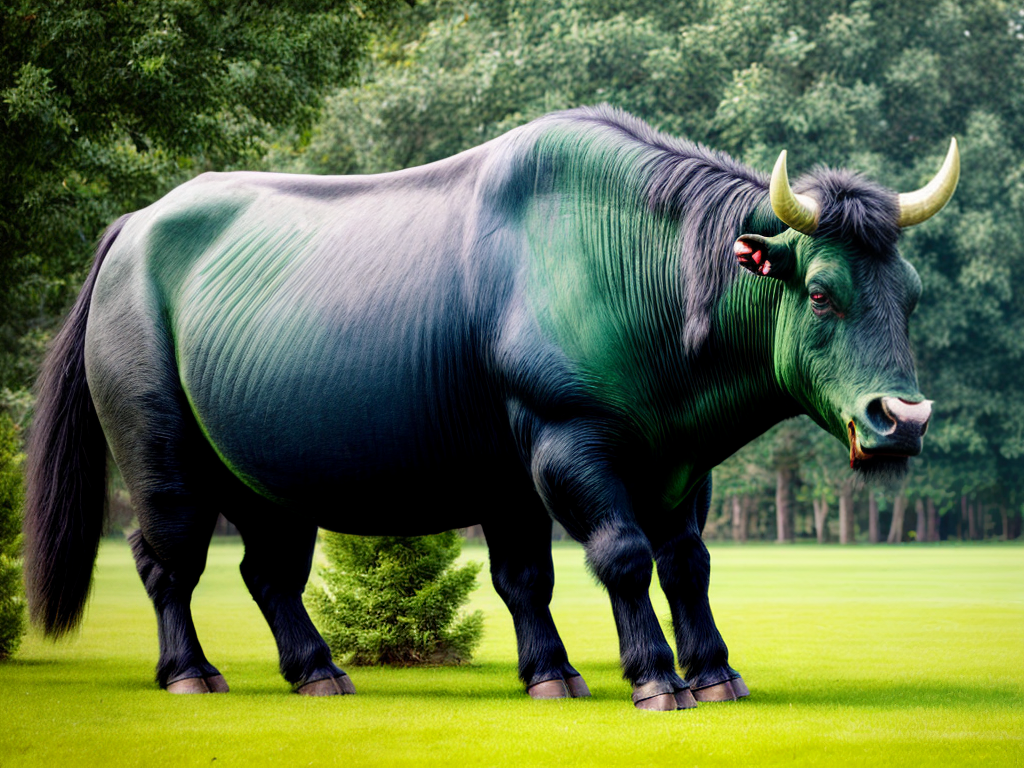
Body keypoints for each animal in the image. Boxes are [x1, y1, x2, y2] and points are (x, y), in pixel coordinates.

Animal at [24, 106, 958, 710]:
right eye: (824, 293)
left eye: (911, 296)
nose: (903, 420)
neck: (636, 271)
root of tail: (134, 227)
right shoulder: (567, 440)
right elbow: (622, 556)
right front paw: (655, 676)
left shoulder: (659, 465)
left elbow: (645, 566)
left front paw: (690, 672)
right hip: (162, 457)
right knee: (165, 559)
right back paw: (189, 671)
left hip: (266, 482)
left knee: (269, 572)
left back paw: (317, 670)